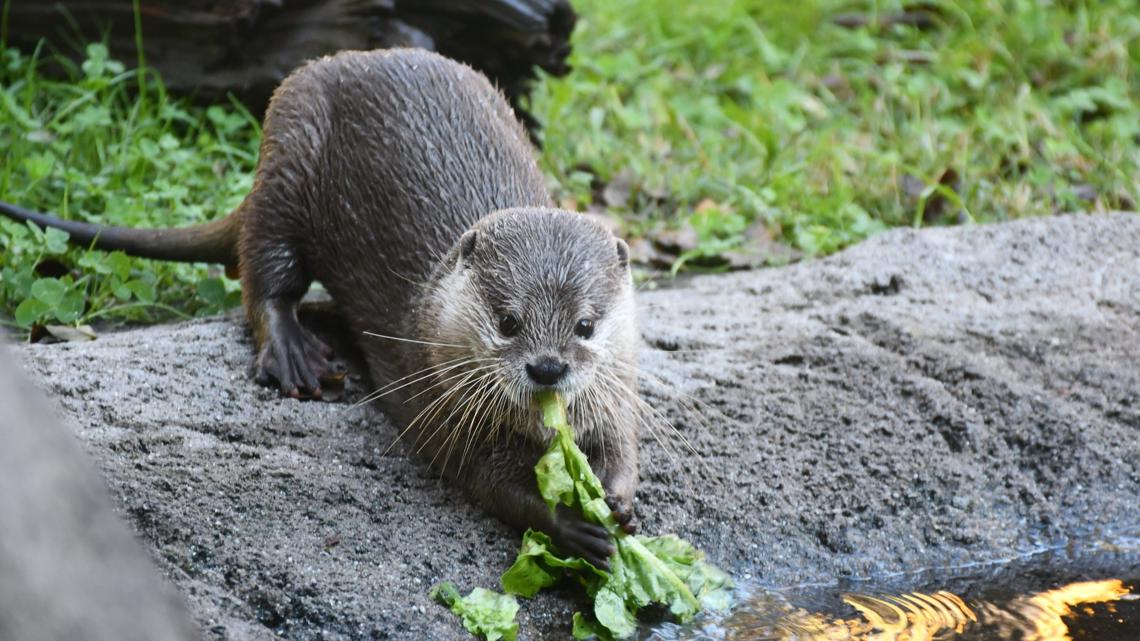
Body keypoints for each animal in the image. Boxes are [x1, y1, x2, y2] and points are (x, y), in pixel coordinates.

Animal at [0, 48, 640, 566]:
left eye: (585, 324)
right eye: (508, 320)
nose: (548, 368)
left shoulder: (617, 395)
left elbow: (622, 445)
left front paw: (618, 499)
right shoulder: (443, 403)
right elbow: (486, 482)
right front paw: (572, 523)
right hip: (288, 161)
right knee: (262, 272)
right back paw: (294, 353)